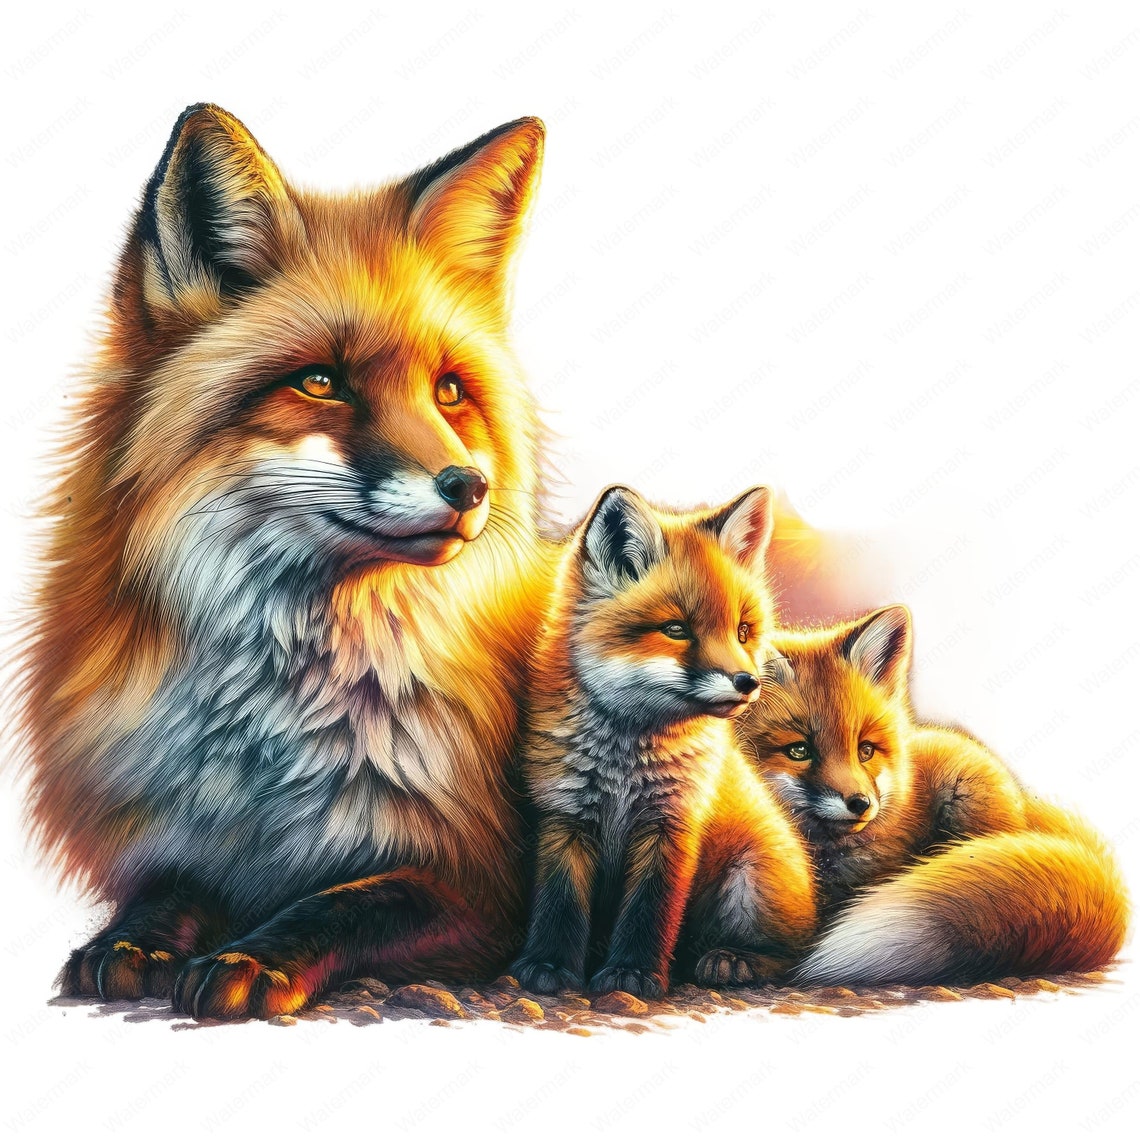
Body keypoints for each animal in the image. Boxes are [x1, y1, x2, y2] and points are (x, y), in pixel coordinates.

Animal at [14, 103, 558, 1019]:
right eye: (320, 382)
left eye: (449, 391)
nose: (468, 486)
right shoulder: (190, 842)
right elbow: (173, 888)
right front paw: (132, 942)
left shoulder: (488, 886)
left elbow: (352, 900)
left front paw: (253, 956)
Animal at [511, 485, 818, 997]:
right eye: (676, 630)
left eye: (743, 630)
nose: (748, 682)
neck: (626, 761)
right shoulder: (565, 814)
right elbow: (560, 902)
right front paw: (549, 966)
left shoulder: (673, 822)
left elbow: (649, 910)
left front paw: (634, 974)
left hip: (749, 883)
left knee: (795, 956)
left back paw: (732, 961)